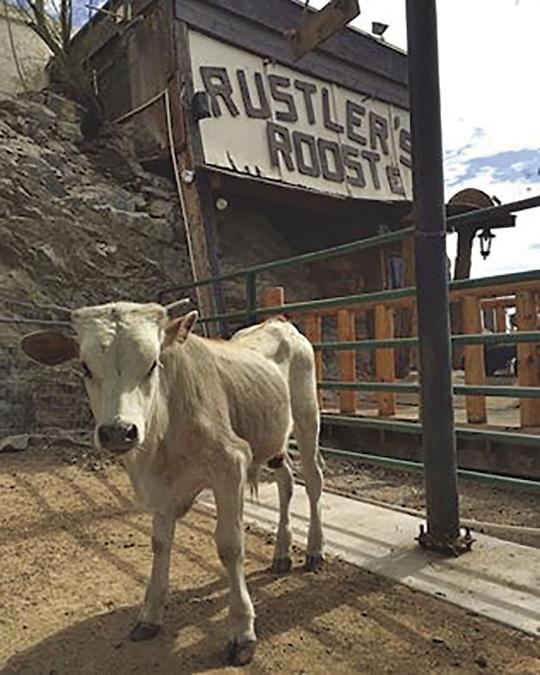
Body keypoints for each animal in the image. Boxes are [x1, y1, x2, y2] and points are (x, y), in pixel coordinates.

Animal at [21, 302, 324, 666]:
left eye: (153, 364)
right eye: (85, 366)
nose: (119, 431)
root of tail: (279, 323)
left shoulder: (230, 464)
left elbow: (230, 546)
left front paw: (242, 632)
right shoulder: (163, 490)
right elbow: (160, 543)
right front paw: (150, 615)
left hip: (308, 419)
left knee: (314, 482)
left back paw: (315, 550)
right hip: (272, 441)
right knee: (286, 480)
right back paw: (281, 552)